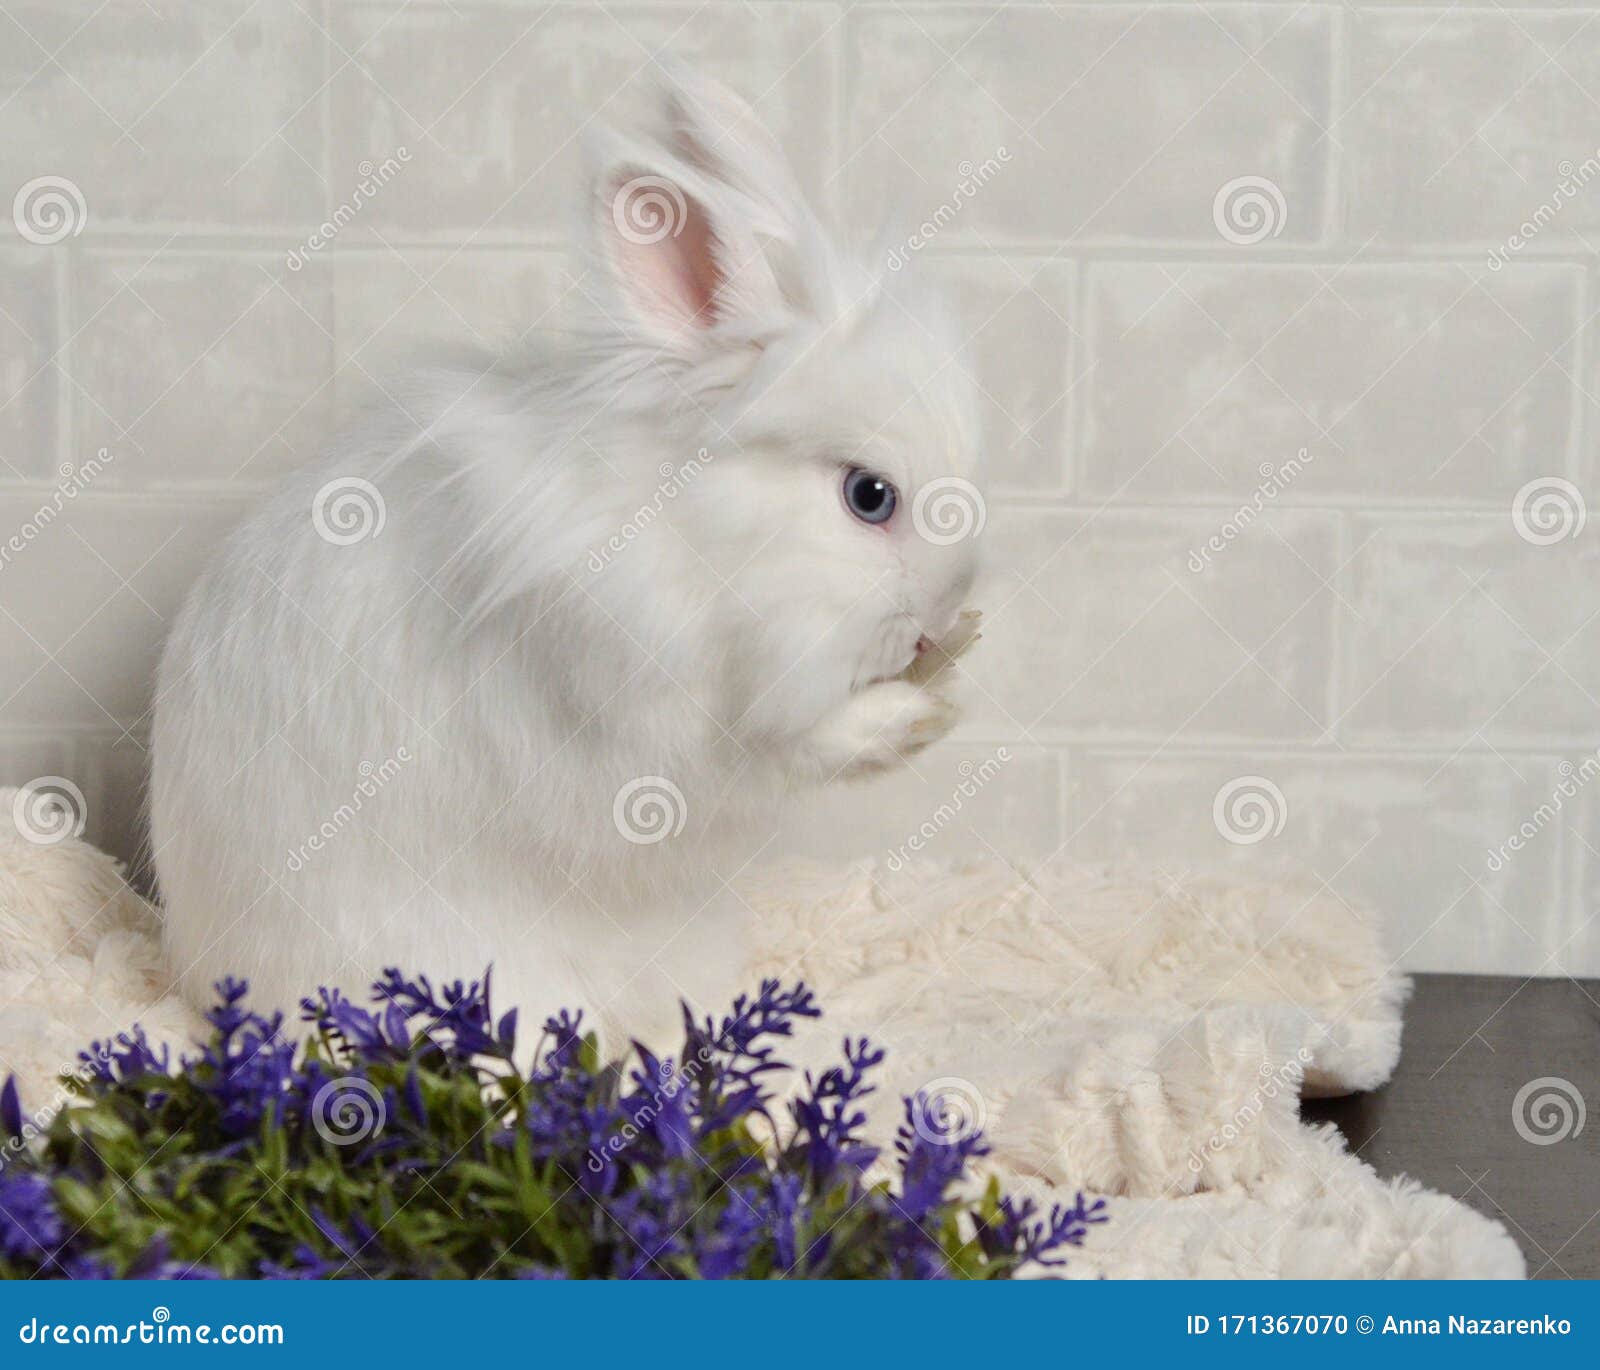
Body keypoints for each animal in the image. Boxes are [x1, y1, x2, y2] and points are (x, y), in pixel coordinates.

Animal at [149, 68, 985, 1052]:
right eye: (869, 496)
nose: (943, 622)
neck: (682, 539)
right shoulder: (637, 725)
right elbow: (777, 752)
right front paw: (911, 719)